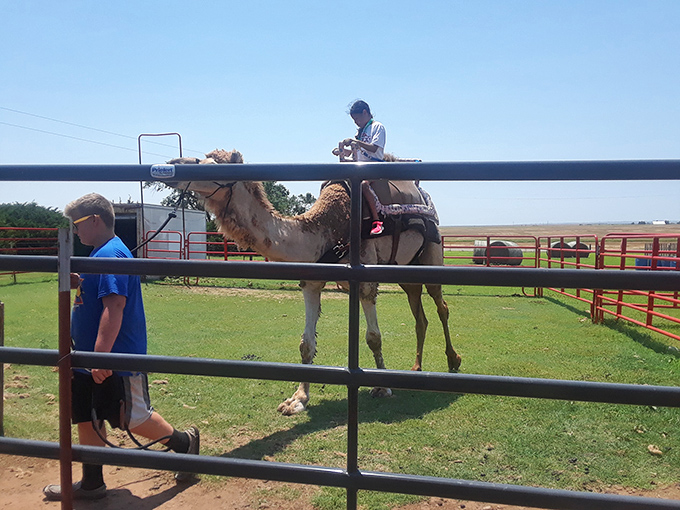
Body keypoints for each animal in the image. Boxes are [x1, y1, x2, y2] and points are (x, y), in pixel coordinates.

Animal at [168, 149, 461, 415]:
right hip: (405, 270)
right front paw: (297, 400)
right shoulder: (311, 281)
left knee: (441, 306)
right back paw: (416, 368)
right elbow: (306, 343)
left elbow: (373, 337)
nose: (172, 163)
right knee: (419, 313)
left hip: (431, 255)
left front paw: (382, 387)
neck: (325, 231)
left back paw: (453, 360)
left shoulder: (366, 281)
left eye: (210, 164)